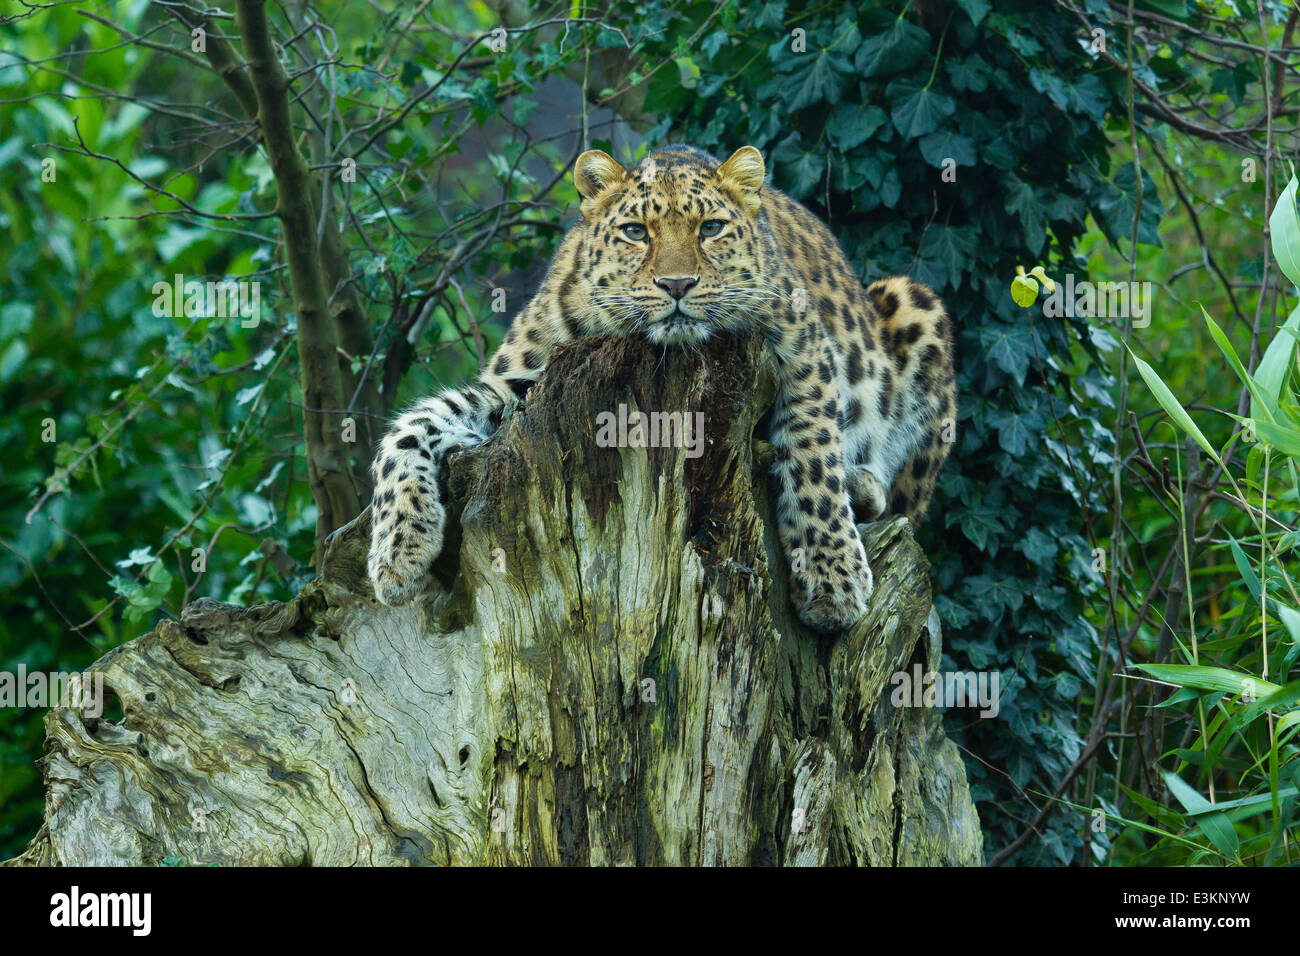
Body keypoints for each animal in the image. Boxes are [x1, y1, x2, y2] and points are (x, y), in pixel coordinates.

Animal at [366, 144, 956, 633]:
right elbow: (409, 429)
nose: (677, 284)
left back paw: (863, 486)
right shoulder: (514, 388)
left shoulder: (807, 352)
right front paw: (396, 555)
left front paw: (834, 581)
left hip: (915, 303)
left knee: (900, 498)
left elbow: (813, 456)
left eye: (711, 228)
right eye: (635, 232)